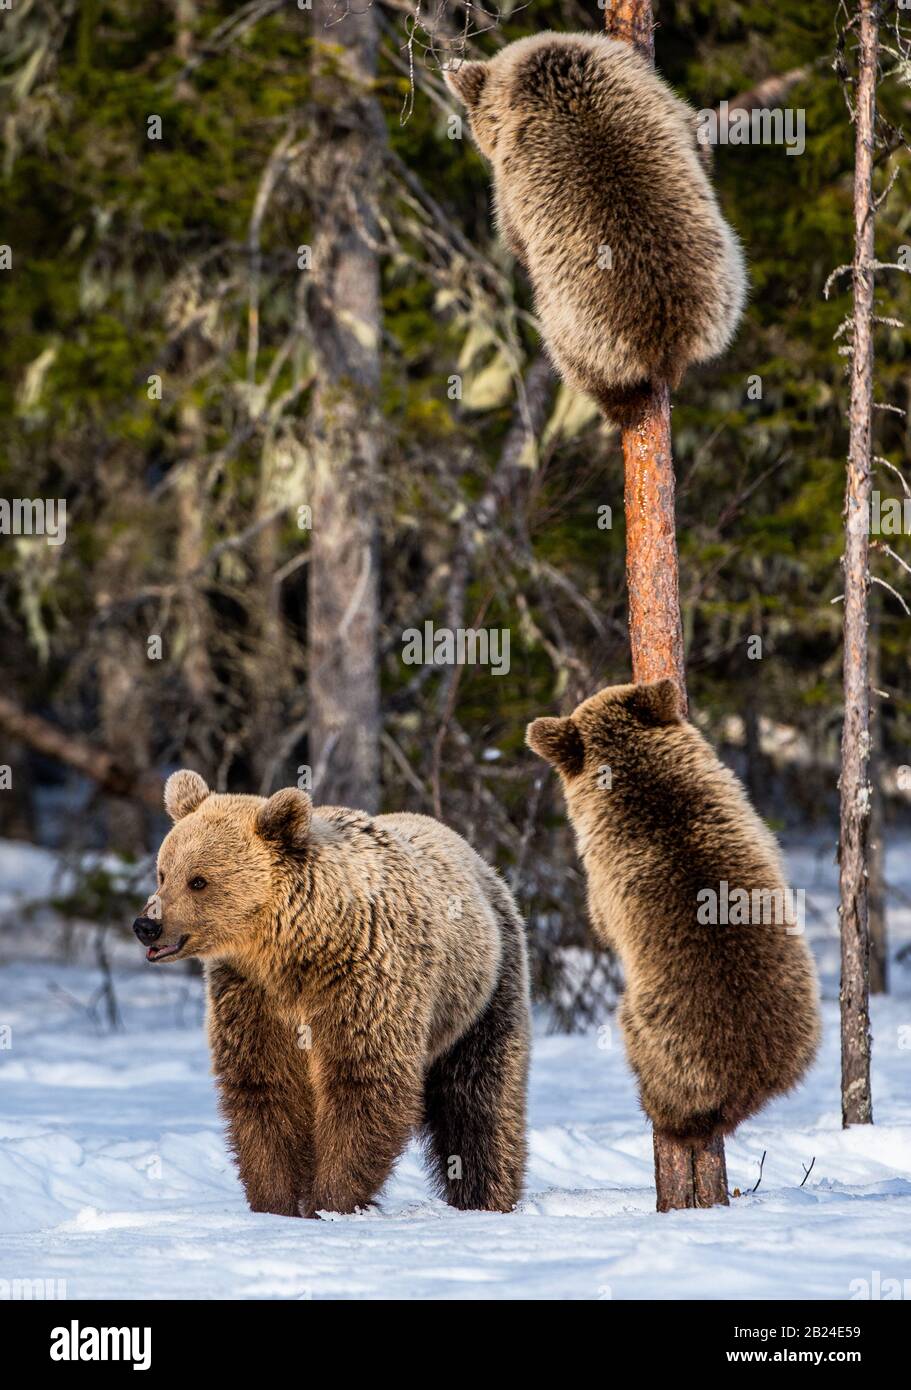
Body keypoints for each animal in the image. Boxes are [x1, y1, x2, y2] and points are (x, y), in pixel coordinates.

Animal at [132, 771, 530, 1217]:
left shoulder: (363, 981)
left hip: (482, 994)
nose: (146, 925)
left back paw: (486, 1197)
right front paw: (275, 1202)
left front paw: (333, 1202)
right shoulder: (251, 997)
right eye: (163, 872)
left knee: (478, 1099)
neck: (294, 951)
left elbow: (362, 1083)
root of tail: (477, 858)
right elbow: (264, 1089)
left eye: (199, 880)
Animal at [444, 32, 747, 425]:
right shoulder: (651, 90)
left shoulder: (512, 175)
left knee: (578, 364)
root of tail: (666, 338)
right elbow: (696, 135)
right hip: (728, 287)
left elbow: (512, 230)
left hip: (578, 329)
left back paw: (617, 409)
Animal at [526, 680, 820, 1142]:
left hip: (657, 1034)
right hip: (801, 1029)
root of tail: (750, 1080)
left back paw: (656, 1111)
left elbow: (601, 919)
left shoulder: (603, 874)